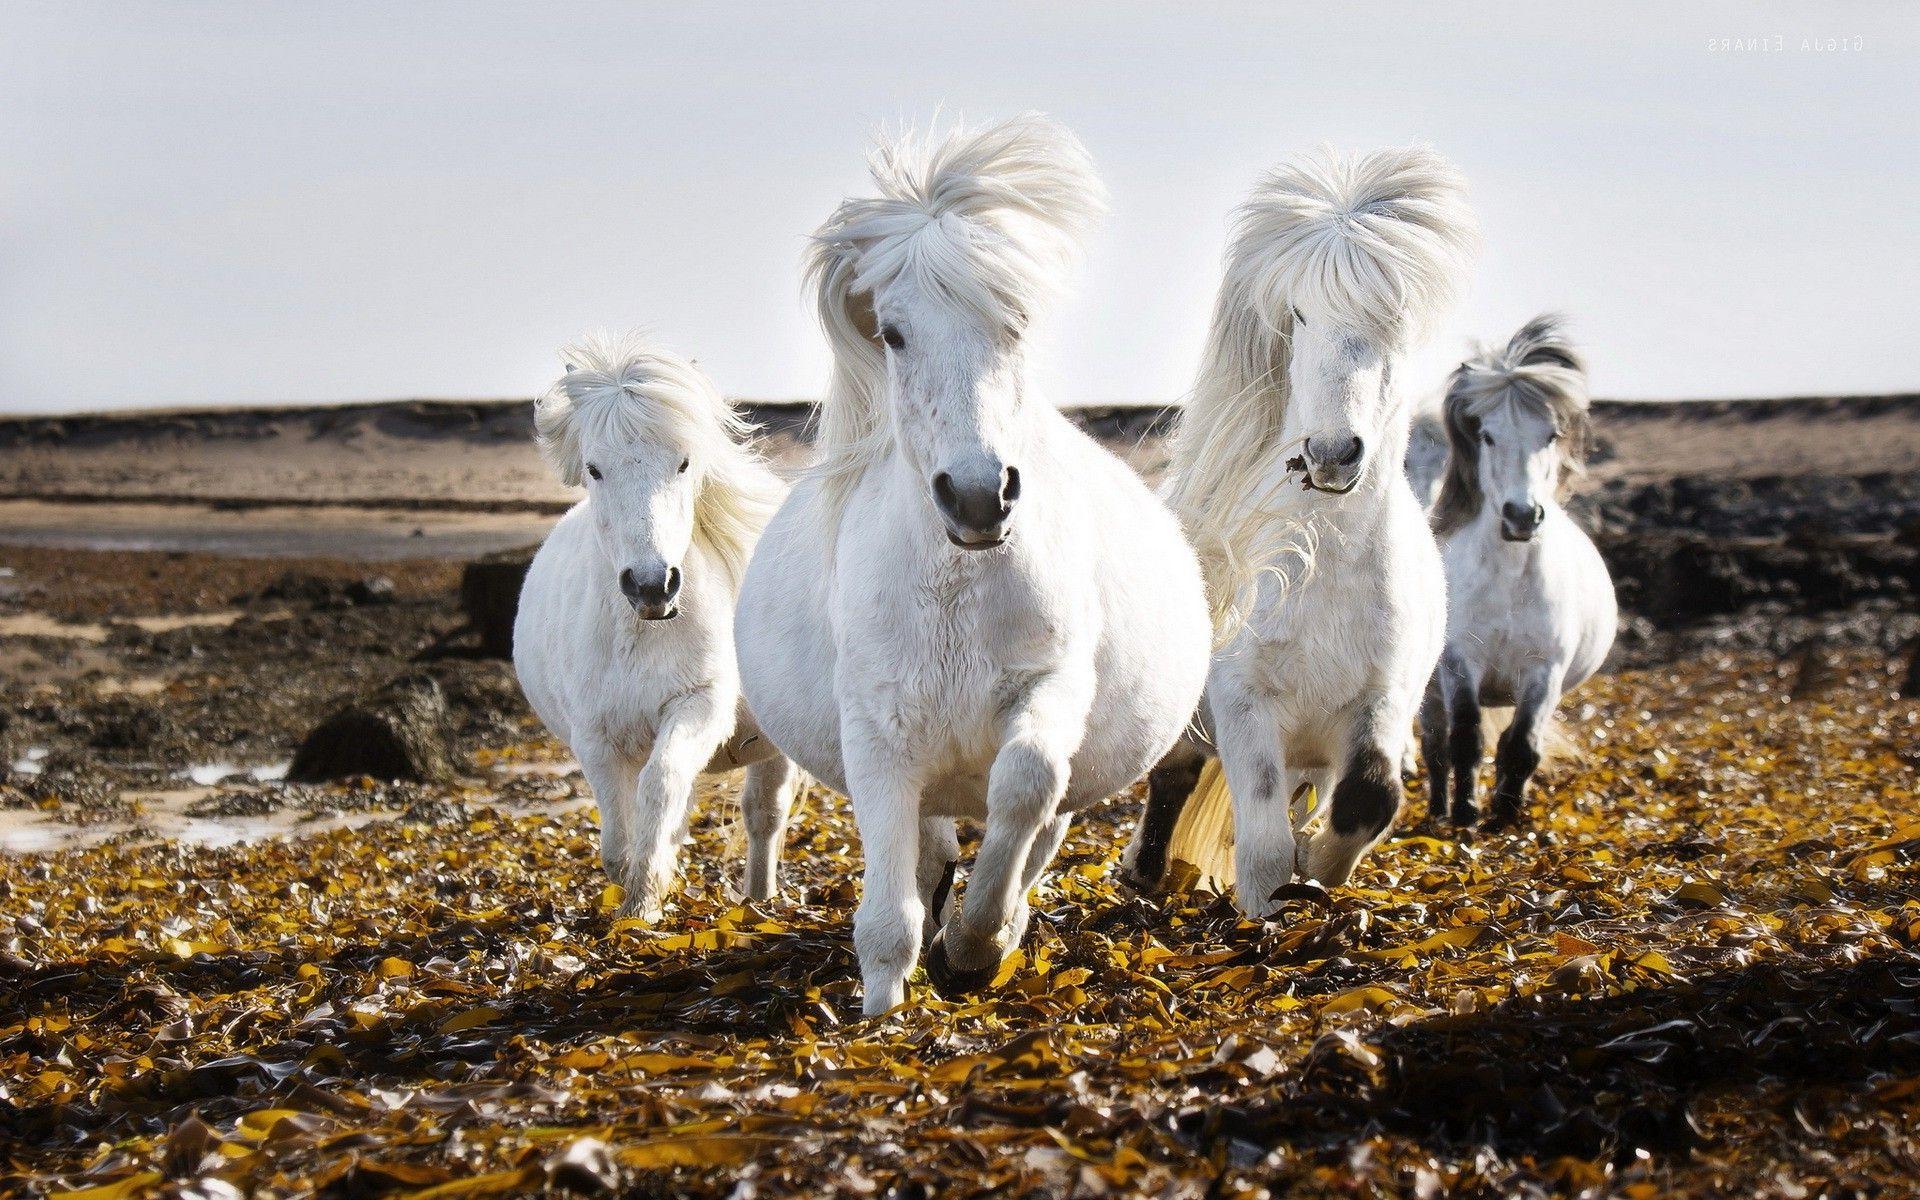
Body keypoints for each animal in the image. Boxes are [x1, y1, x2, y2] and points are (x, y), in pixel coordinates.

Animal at [512, 333, 799, 919]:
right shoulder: (595, 736)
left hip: (772, 745)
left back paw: (758, 903)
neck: (640, 635)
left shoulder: (697, 706)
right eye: (595, 468)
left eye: (684, 463)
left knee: (763, 815)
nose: (651, 586)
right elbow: (618, 838)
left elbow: (661, 785)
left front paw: (645, 900)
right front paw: (633, 898)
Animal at [734, 115, 1211, 1016]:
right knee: (930, 849)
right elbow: (888, 913)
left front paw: (976, 947)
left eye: (1016, 321)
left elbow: (1025, 787)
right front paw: (883, 1010)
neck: (954, 596)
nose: (979, 496)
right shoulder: (878, 732)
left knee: (1037, 827)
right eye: (892, 333)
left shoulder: (1047, 691)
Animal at [1121, 146, 1477, 918]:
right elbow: (1259, 843)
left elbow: (1368, 800)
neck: (1320, 569)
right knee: (1172, 779)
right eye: (1303, 314)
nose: (1332, 454)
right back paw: (1143, 872)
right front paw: (1266, 915)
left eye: (1393, 319)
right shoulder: (1245, 704)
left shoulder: (1382, 703)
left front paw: (1317, 876)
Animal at [1420, 315, 1617, 827]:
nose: (1522, 516)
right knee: (1434, 746)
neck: (1509, 581)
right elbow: (1466, 740)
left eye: (1550, 435)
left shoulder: (1544, 671)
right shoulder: (1460, 664)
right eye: (1487, 435)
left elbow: (1522, 745)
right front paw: (1465, 812)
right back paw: (1437, 810)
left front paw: (1506, 814)